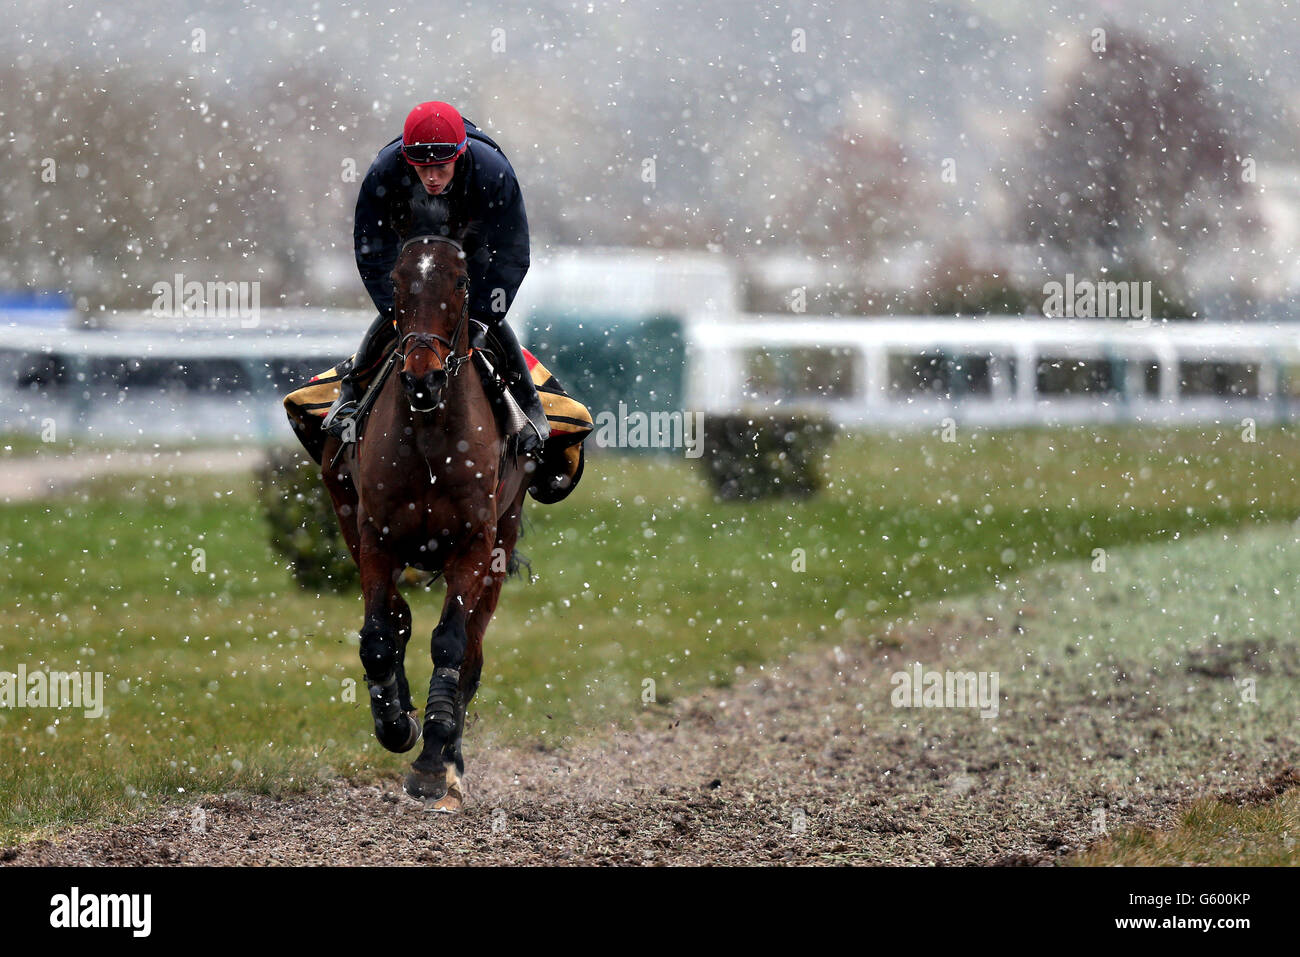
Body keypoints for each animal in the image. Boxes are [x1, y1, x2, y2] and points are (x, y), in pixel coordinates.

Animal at [320, 221, 531, 811]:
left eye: (460, 281)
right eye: (396, 280)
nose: (423, 379)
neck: (433, 436)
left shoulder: (476, 542)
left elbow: (451, 644)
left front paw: (435, 761)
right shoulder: (375, 536)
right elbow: (378, 637)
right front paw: (396, 722)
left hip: (502, 544)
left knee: (473, 654)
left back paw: (452, 760)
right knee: (397, 620)